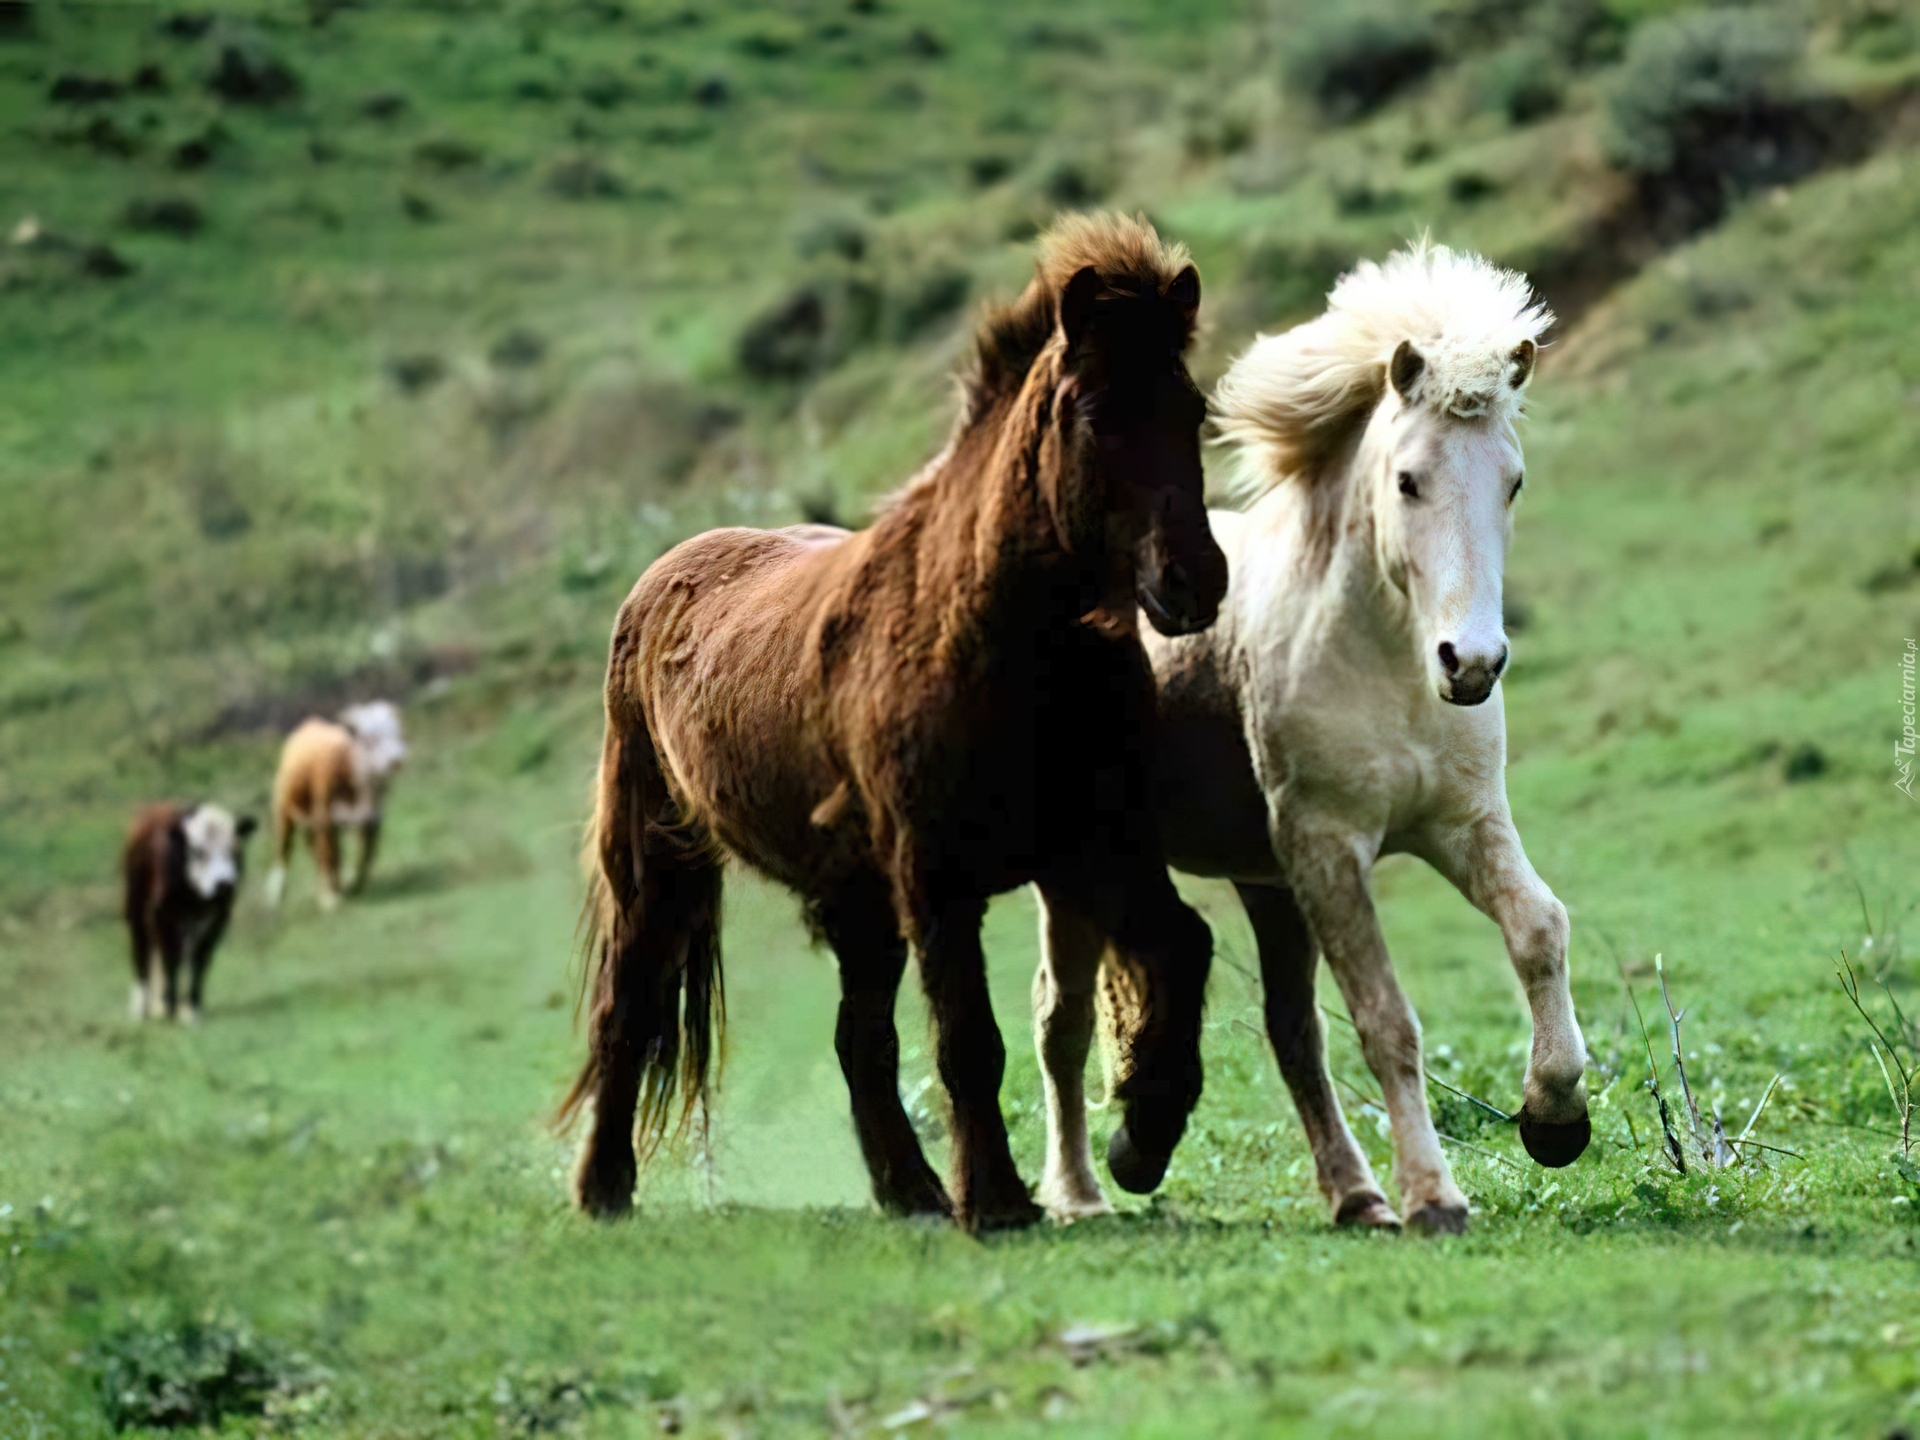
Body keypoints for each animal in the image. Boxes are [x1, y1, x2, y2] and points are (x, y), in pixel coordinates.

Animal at [121, 802, 255, 1029]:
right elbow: (170, 960)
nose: (224, 884)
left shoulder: (217, 920)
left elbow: (199, 961)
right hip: (137, 910)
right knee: (142, 954)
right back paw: (142, 1010)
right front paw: (169, 1009)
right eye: (198, 850)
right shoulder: (163, 915)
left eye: (234, 848)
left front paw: (191, 1010)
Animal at [264, 702, 407, 913]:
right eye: (369, 739)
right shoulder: (325, 819)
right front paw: (330, 899)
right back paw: (275, 896)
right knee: (285, 851)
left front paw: (352, 884)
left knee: (321, 851)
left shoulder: (371, 818)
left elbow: (365, 855)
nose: (396, 760)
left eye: (397, 733)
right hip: (283, 812)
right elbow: (328, 856)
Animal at [560, 214, 1228, 1228]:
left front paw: (1140, 1140)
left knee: (858, 1038)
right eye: (1096, 414)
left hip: (855, 899)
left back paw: (910, 1190)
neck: (995, 637)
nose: (1195, 580)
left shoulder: (1097, 847)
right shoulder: (936, 878)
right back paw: (604, 1188)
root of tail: (663, 577)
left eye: (1190, 409)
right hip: (659, 866)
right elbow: (968, 1039)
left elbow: (1181, 947)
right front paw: (997, 1203)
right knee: (626, 1012)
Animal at [1036, 242, 1589, 1236]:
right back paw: (1082, 1192)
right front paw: (1436, 1198)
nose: (1472, 662)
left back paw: (1352, 1194)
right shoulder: (1332, 849)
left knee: (1291, 1033)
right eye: (1408, 479)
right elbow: (1386, 1020)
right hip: (1081, 878)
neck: (1387, 663)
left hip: (1266, 886)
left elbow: (1539, 928)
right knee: (1060, 1022)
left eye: (1513, 481)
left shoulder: (1462, 825)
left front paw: (1554, 1118)